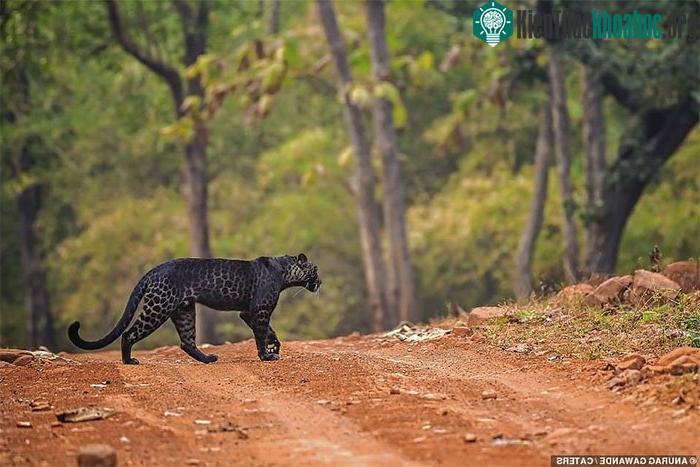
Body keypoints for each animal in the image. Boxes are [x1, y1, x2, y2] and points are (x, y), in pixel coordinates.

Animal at [68, 252, 320, 366]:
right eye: (315, 270)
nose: (320, 282)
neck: (284, 272)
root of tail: (154, 270)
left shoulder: (247, 312)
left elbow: (269, 331)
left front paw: (274, 347)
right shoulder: (259, 310)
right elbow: (261, 333)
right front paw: (266, 355)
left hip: (184, 311)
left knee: (187, 341)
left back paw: (207, 359)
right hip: (158, 307)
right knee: (129, 333)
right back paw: (128, 361)